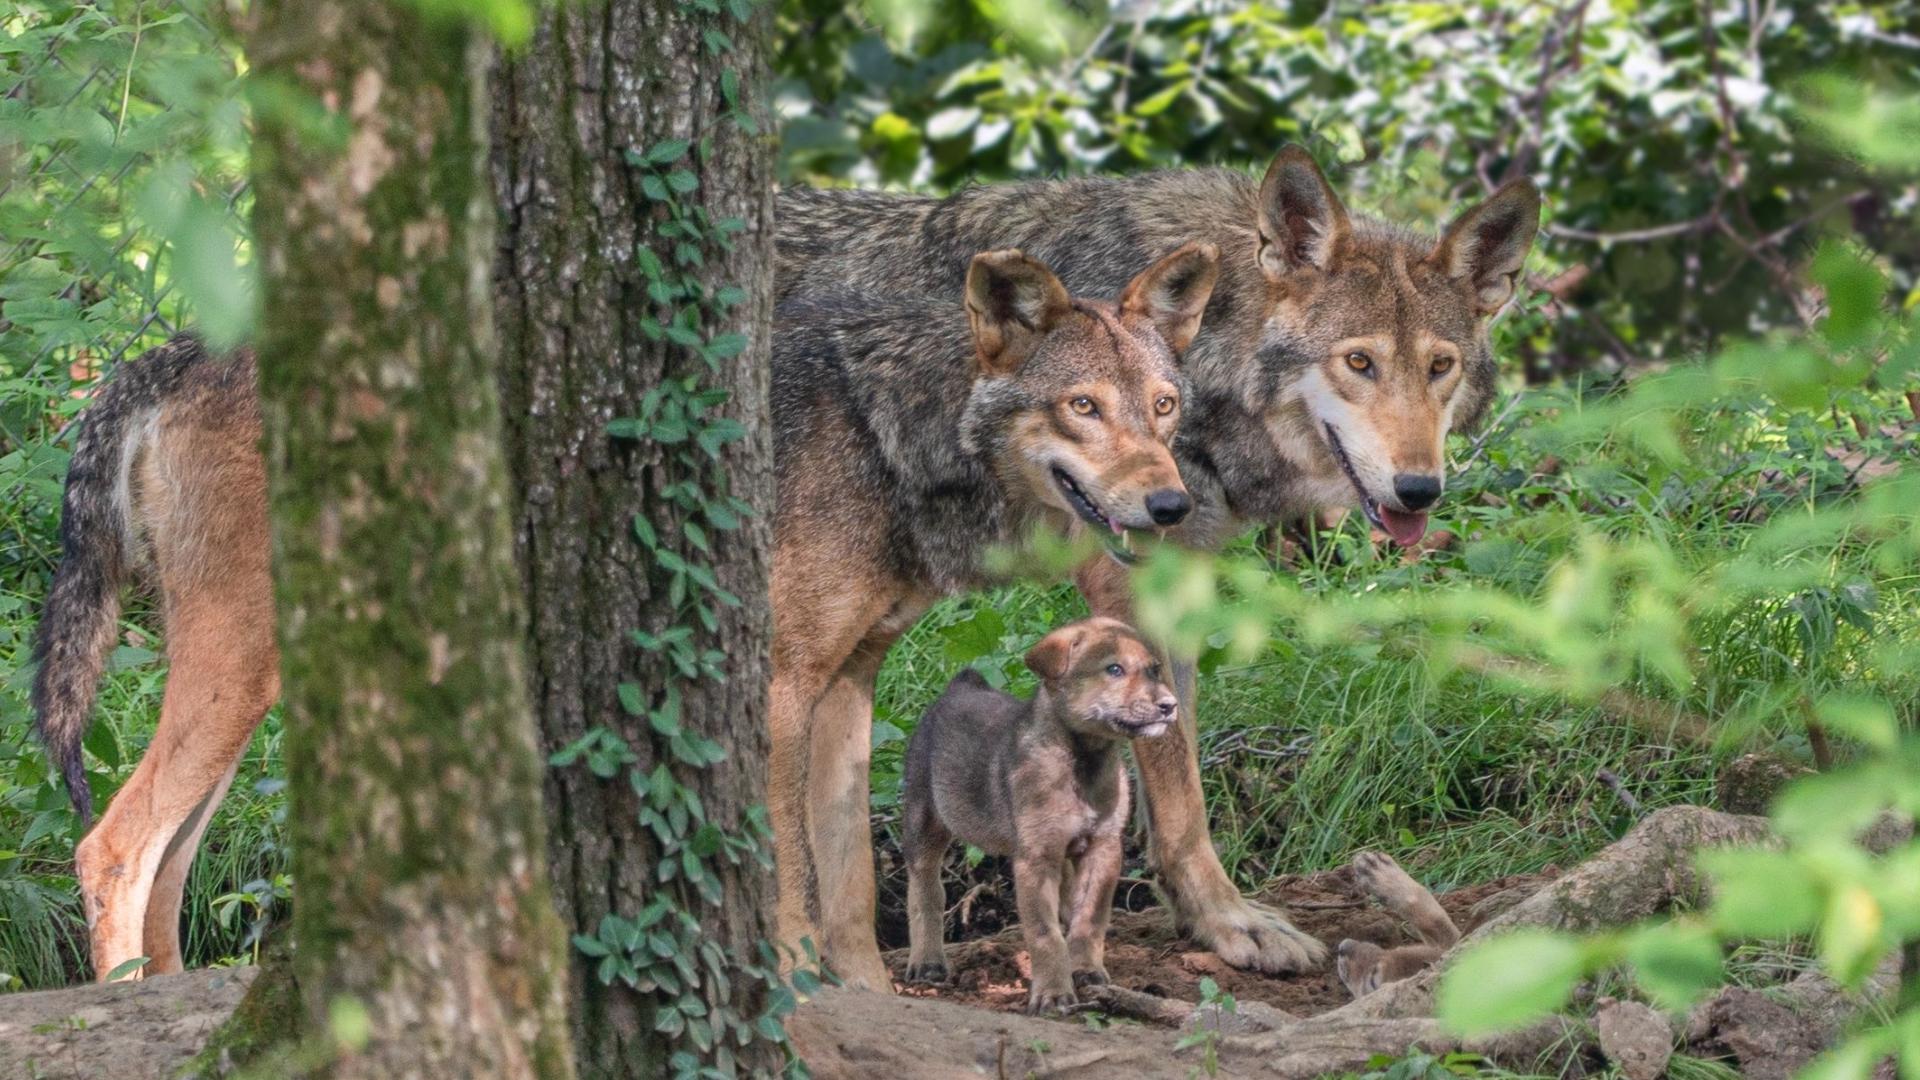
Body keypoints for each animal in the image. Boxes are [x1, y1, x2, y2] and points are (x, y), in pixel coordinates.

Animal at [900, 617, 1176, 1014]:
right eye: (1114, 669)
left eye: (1154, 669)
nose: (1169, 705)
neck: (1083, 761)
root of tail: (962, 684)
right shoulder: (1036, 857)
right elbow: (1045, 933)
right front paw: (1053, 993)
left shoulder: (1103, 847)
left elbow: (1089, 919)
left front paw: (1086, 970)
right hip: (924, 821)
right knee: (925, 893)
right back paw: (927, 962)